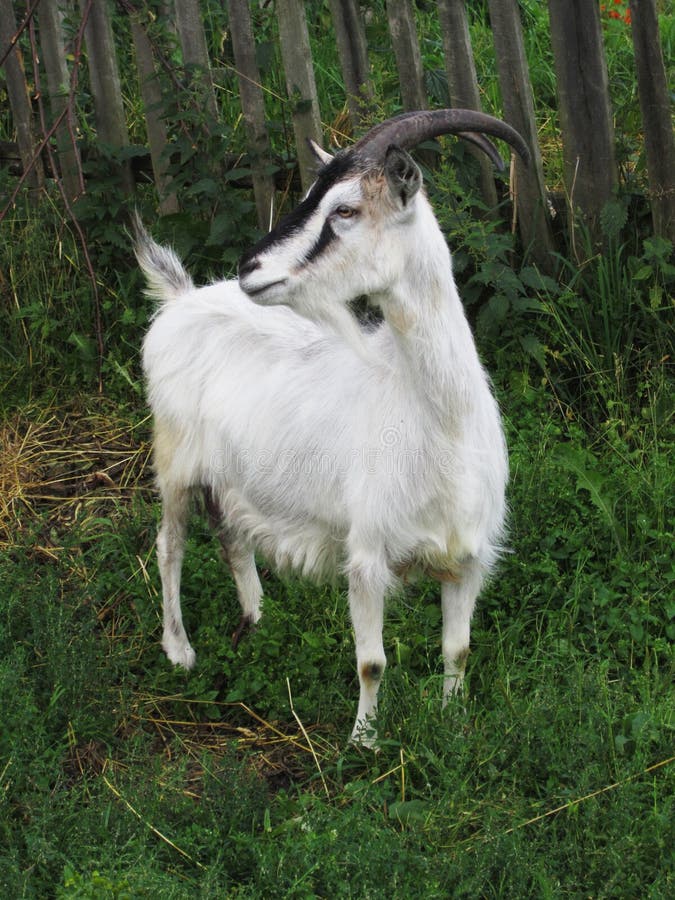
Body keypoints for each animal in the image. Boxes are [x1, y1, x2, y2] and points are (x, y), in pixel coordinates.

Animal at [136, 109, 529, 745]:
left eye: (344, 209)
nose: (250, 268)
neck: (441, 426)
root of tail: (180, 300)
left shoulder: (467, 558)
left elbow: (459, 650)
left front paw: (454, 724)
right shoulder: (366, 554)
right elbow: (372, 662)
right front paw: (363, 742)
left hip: (234, 479)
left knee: (232, 536)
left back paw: (257, 621)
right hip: (174, 460)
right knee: (169, 544)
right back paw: (181, 651)